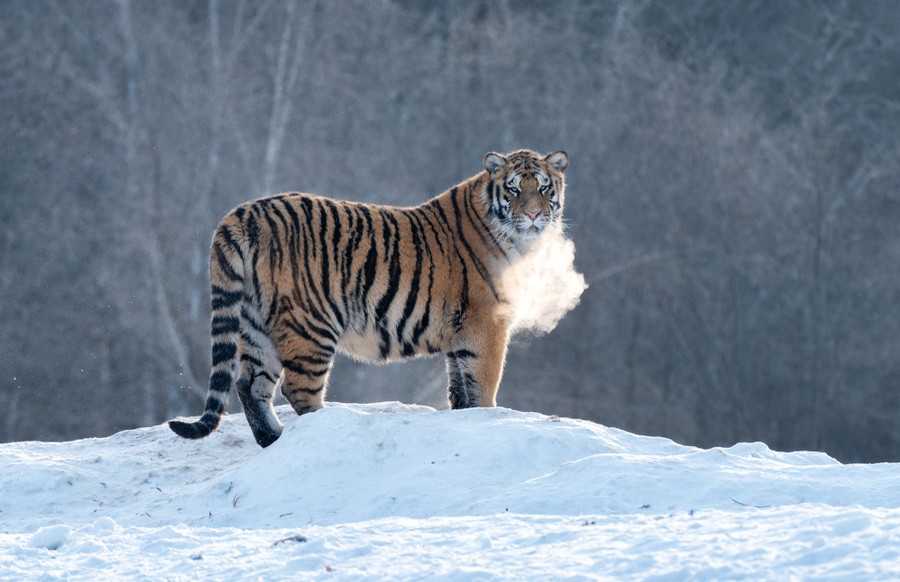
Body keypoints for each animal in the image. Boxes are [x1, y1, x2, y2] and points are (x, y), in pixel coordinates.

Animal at [169, 149, 570, 447]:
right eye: (514, 189)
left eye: (544, 188)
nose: (534, 214)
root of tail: (244, 212)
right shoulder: (486, 324)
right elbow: (484, 385)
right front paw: (486, 417)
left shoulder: (459, 335)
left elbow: (461, 390)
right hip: (310, 325)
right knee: (297, 389)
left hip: (256, 323)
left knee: (249, 384)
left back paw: (274, 440)